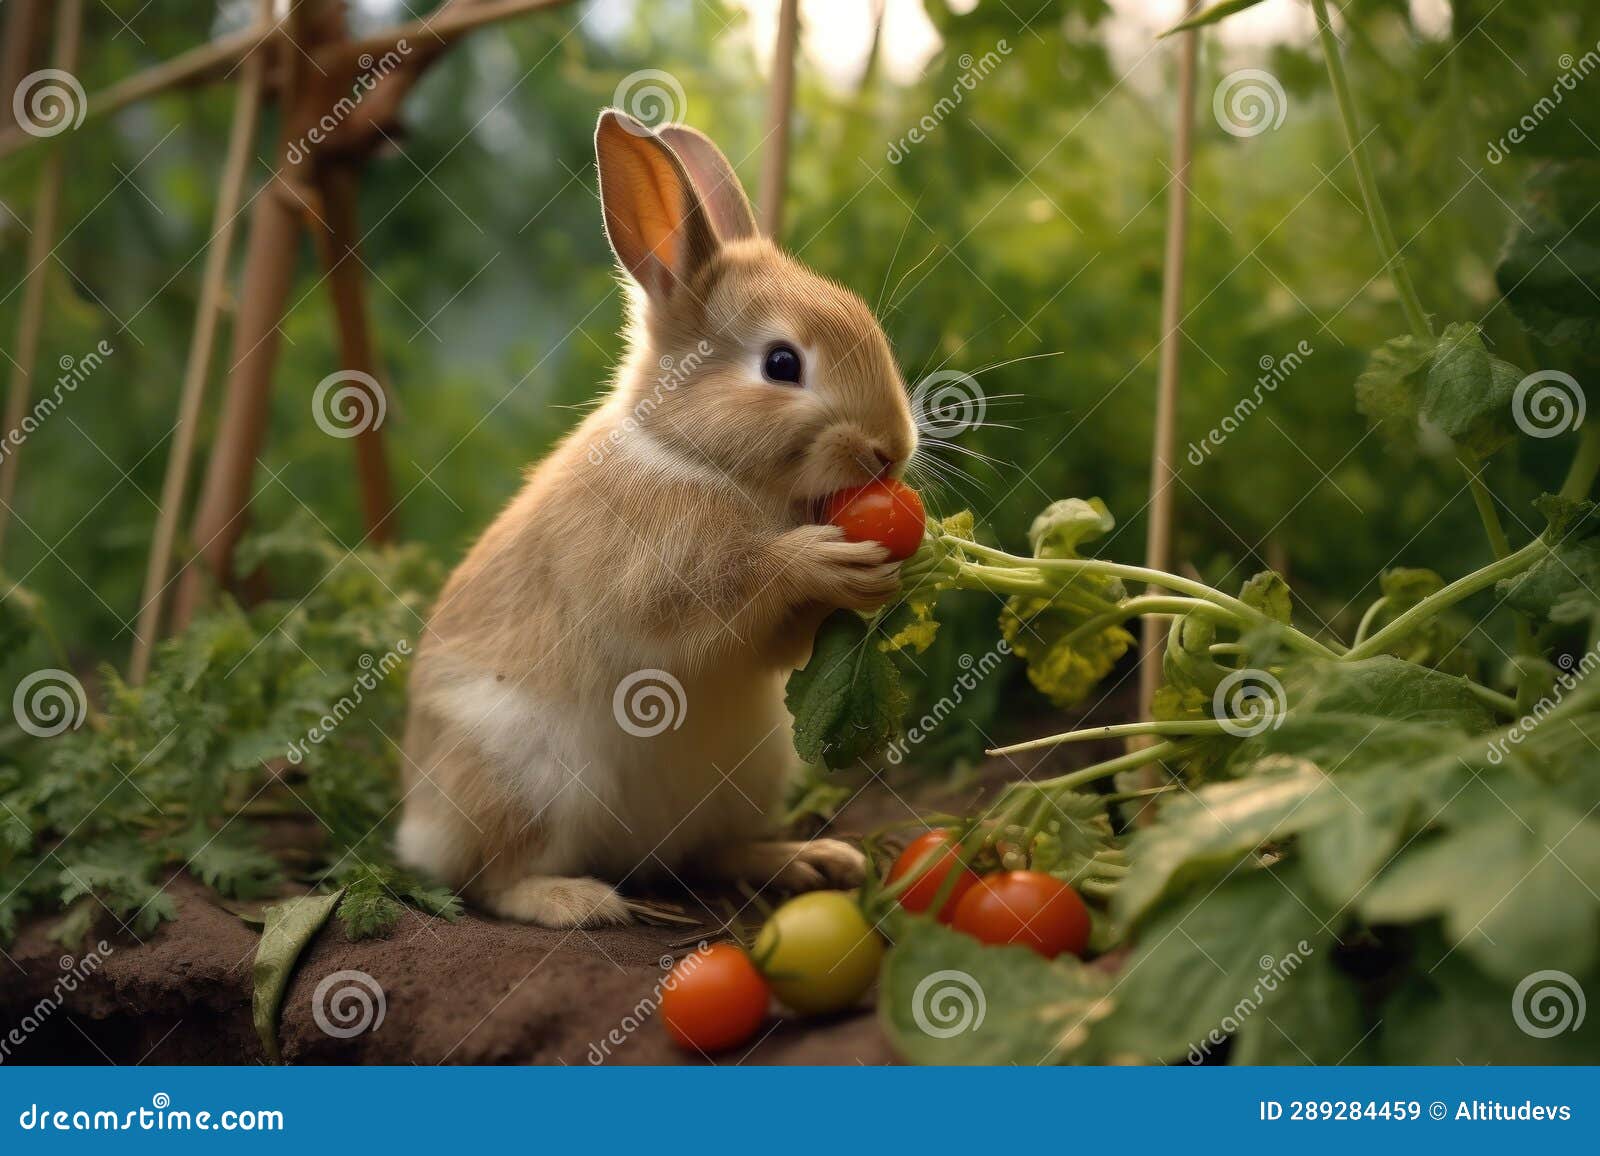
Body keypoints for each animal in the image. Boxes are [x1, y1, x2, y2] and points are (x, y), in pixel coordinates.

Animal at [394, 108, 918, 928]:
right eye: (781, 364)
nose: (890, 451)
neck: (691, 454)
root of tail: (418, 824)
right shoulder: (656, 579)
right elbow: (716, 592)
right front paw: (822, 561)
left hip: (750, 772)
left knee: (704, 855)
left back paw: (806, 861)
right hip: (524, 777)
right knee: (493, 878)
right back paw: (577, 902)